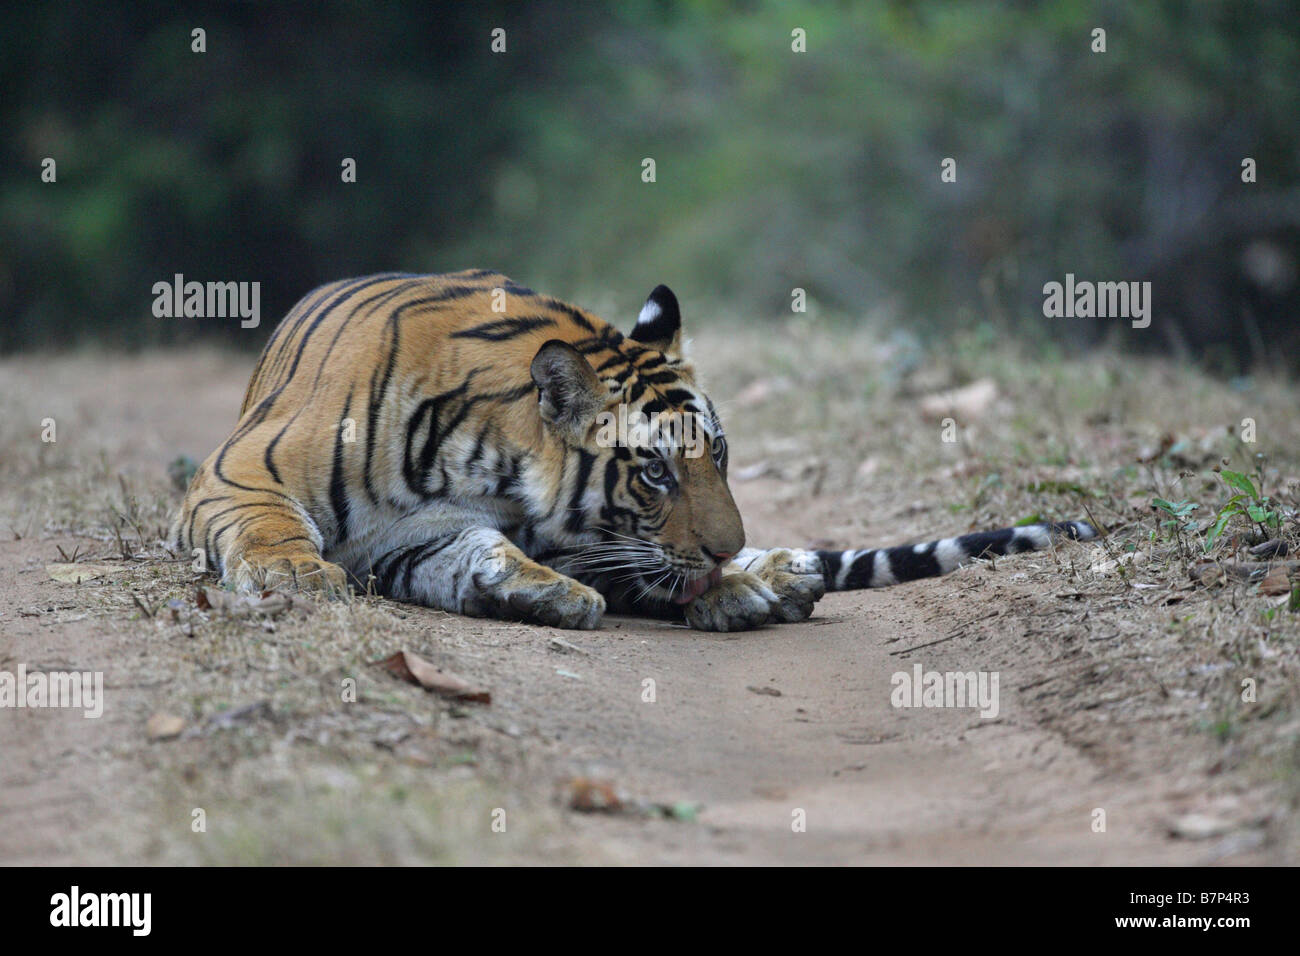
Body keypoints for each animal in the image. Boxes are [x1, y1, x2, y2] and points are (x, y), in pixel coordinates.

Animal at [172, 270, 1097, 631]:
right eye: (655, 472)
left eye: (719, 456)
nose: (723, 545)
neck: (481, 459)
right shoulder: (238, 475)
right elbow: (274, 527)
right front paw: (295, 576)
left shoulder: (418, 533)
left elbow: (475, 549)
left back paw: (764, 580)